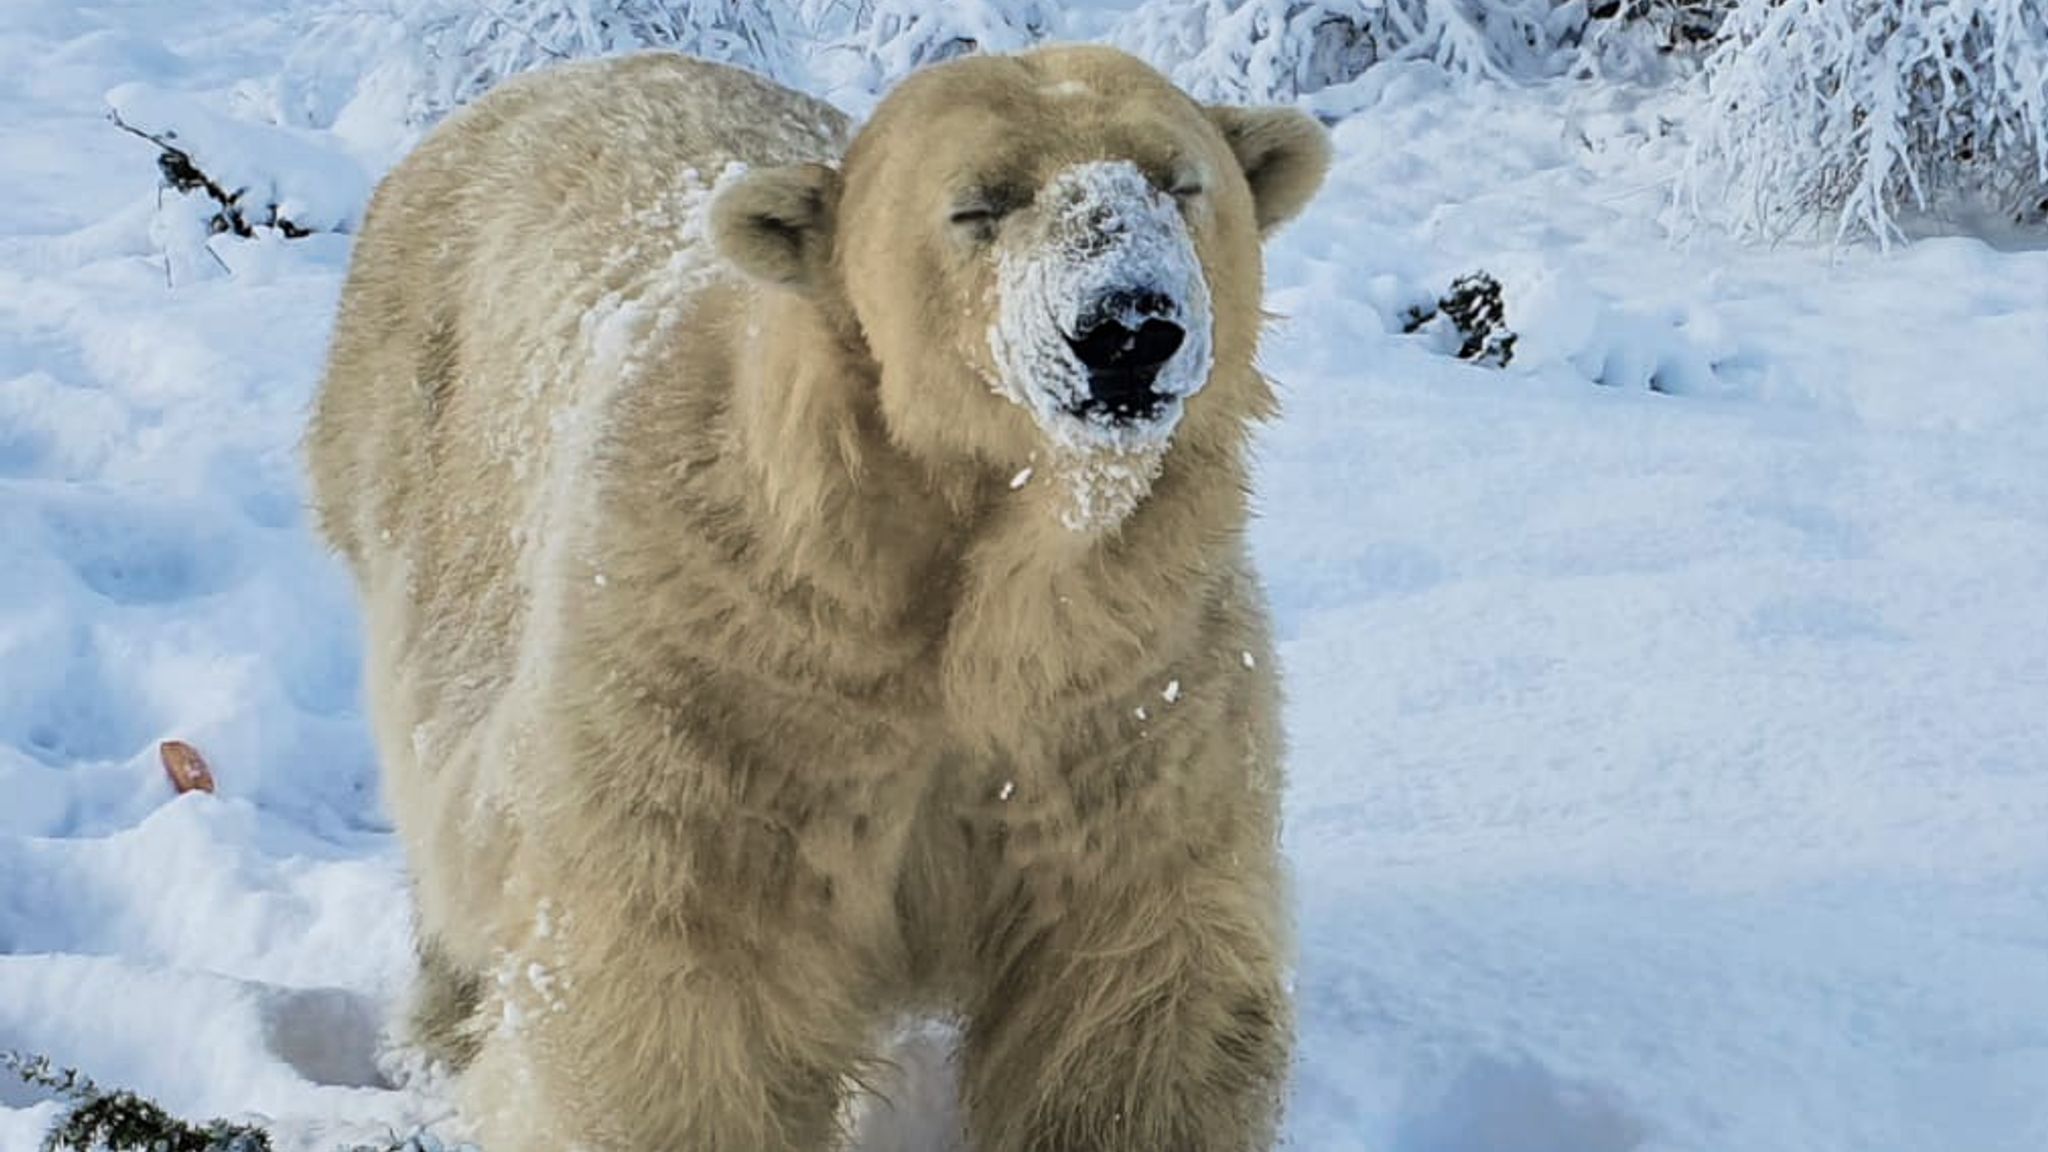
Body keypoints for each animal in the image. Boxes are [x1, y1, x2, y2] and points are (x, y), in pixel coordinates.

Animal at [305, 43, 1328, 1152]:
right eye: (979, 204)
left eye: (1179, 183)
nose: (1127, 326)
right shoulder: (735, 661)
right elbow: (683, 981)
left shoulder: (1121, 685)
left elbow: (1125, 985)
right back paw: (437, 1028)